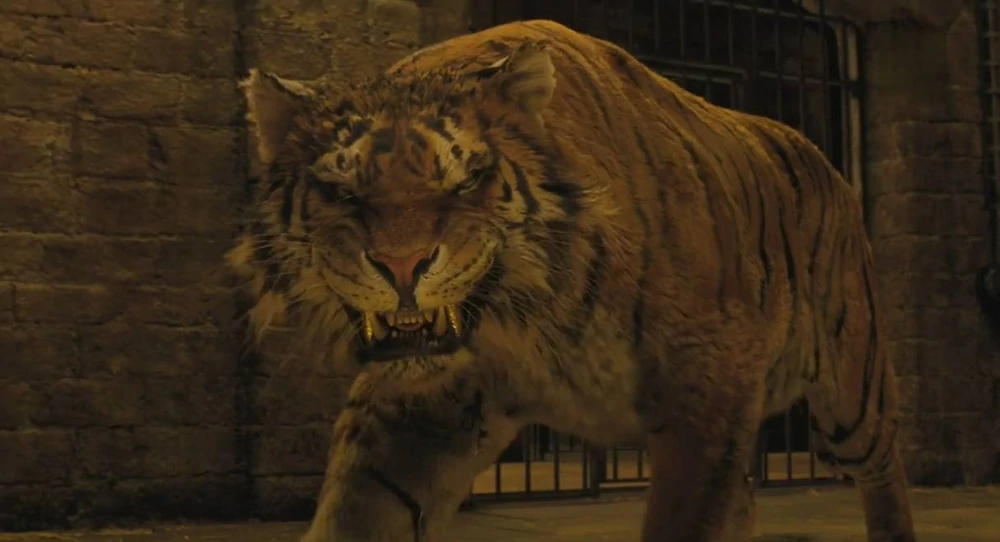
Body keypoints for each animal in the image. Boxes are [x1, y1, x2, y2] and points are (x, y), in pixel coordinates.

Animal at [227, 19, 916, 542]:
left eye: (466, 183)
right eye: (341, 193)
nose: (403, 266)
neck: (521, 317)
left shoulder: (707, 389)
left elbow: (684, 520)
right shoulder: (421, 403)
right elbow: (358, 508)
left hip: (851, 397)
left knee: (885, 473)